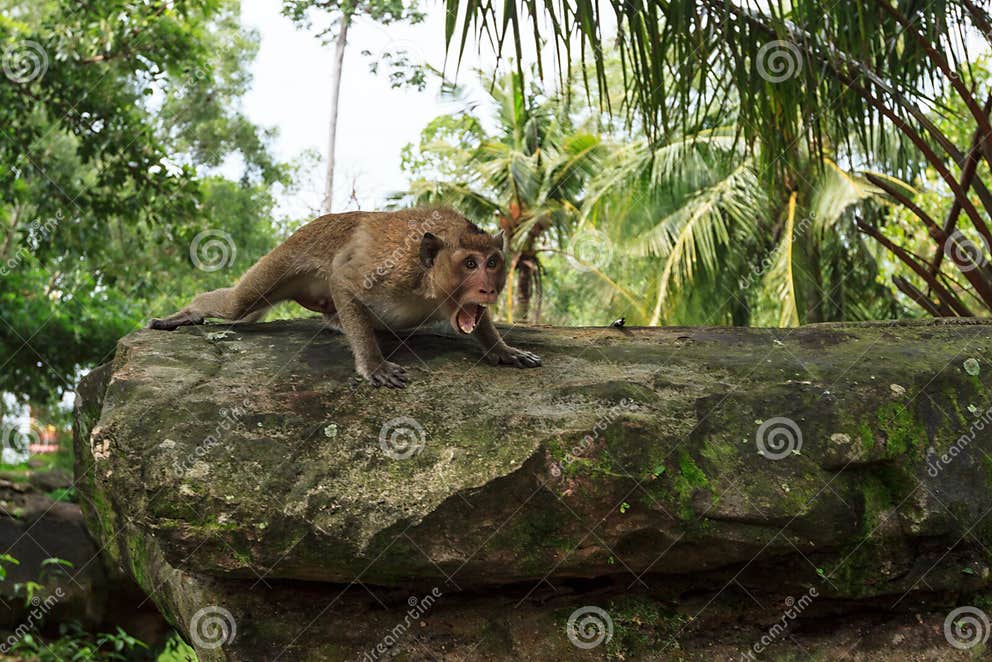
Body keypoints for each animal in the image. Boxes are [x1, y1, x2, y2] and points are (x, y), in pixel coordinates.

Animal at [149, 207, 541, 388]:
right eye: (470, 263)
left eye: (493, 263)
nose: (489, 288)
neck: (429, 283)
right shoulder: (393, 269)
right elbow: (345, 279)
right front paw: (373, 364)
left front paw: (502, 348)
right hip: (285, 258)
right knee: (239, 303)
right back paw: (186, 313)